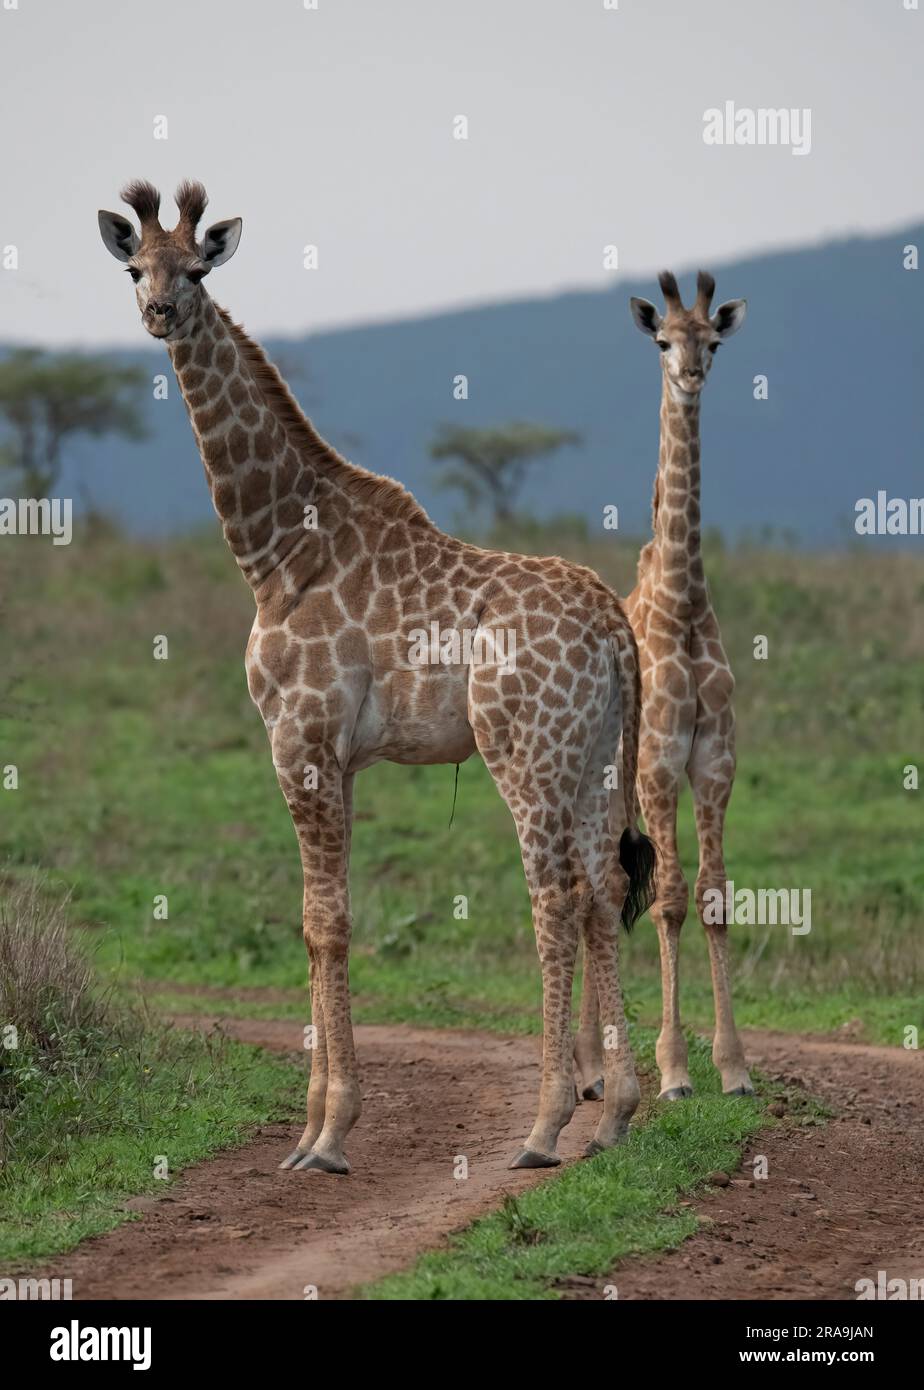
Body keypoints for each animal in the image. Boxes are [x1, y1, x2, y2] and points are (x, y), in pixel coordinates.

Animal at [98, 180, 656, 1174]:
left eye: (197, 270)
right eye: (136, 269)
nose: (159, 312)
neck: (278, 551)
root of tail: (615, 632)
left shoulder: (301, 739)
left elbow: (324, 921)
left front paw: (327, 1135)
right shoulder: (338, 756)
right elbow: (326, 918)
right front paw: (311, 1128)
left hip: (527, 749)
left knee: (554, 895)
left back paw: (546, 1125)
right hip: (594, 756)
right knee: (599, 890)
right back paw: (617, 1116)